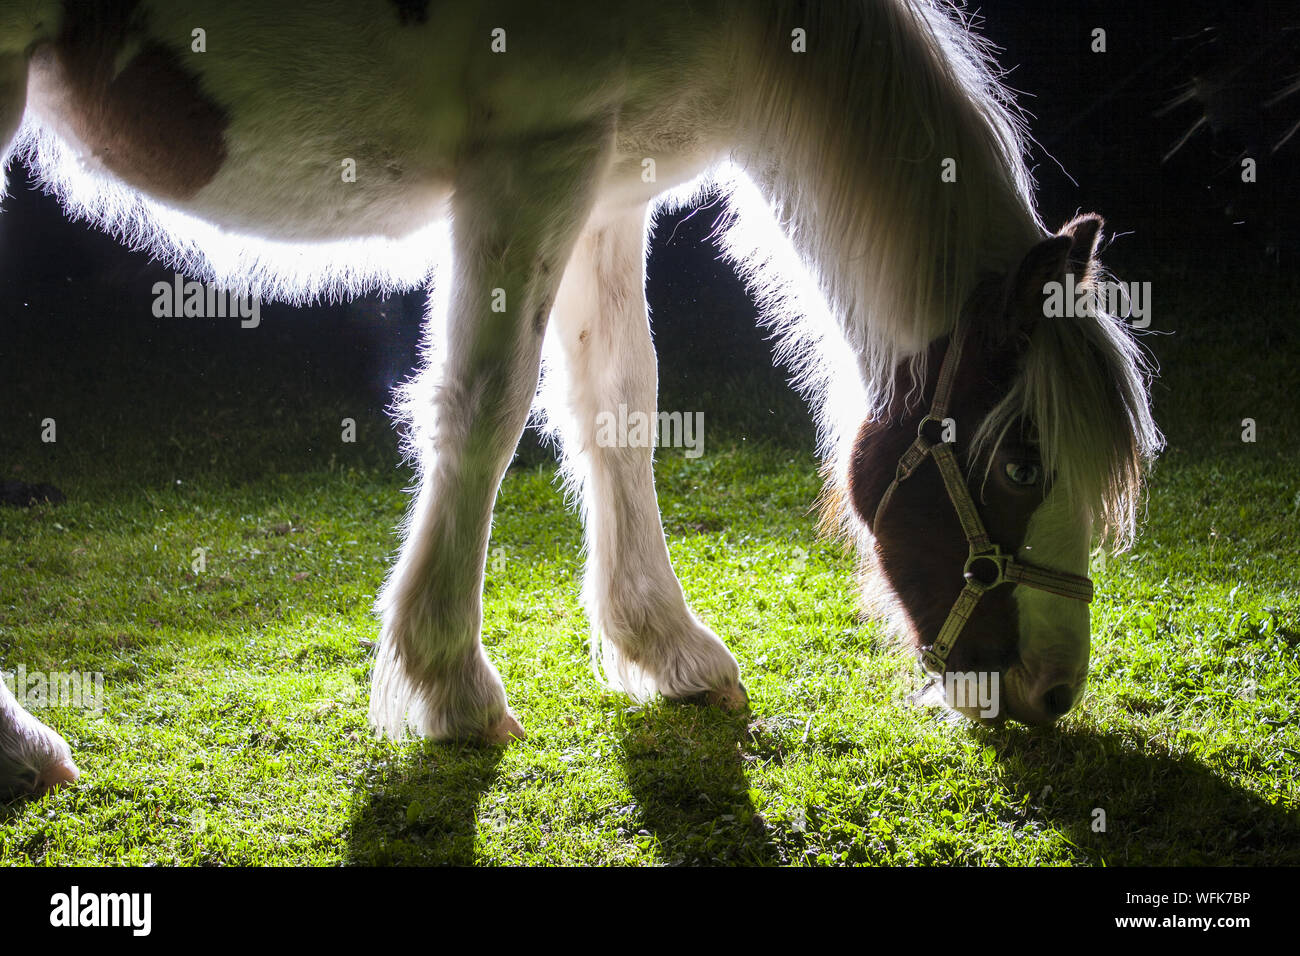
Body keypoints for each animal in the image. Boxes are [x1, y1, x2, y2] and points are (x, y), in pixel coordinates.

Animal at [0, 0, 1161, 798]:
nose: (1052, 690)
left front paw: (664, 647)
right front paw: (449, 684)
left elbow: (620, 401)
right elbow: (486, 404)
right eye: (1021, 463)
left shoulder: (607, 179)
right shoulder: (532, 158)